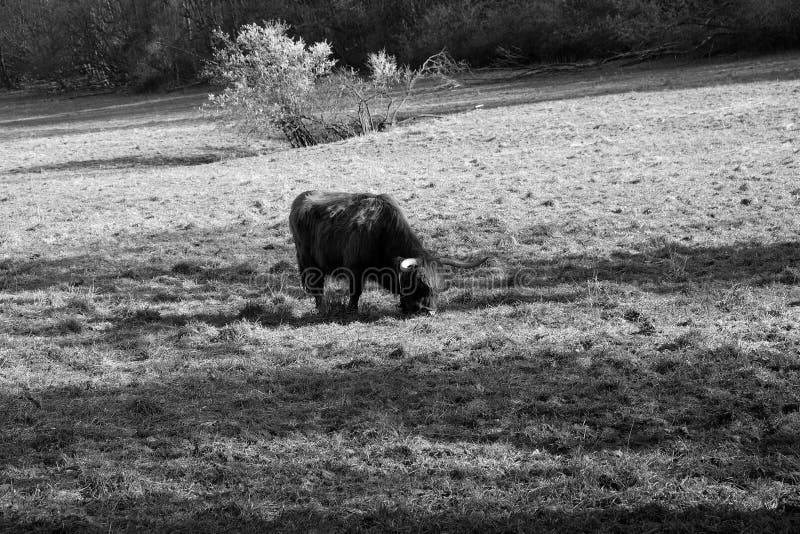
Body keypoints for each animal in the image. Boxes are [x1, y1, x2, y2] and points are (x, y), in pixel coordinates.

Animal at [289, 191, 488, 315]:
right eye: (420, 284)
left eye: (438, 289)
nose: (430, 311)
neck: (381, 232)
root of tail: (301, 198)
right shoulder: (355, 269)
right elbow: (355, 292)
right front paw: (352, 311)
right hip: (308, 262)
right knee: (317, 287)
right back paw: (322, 309)